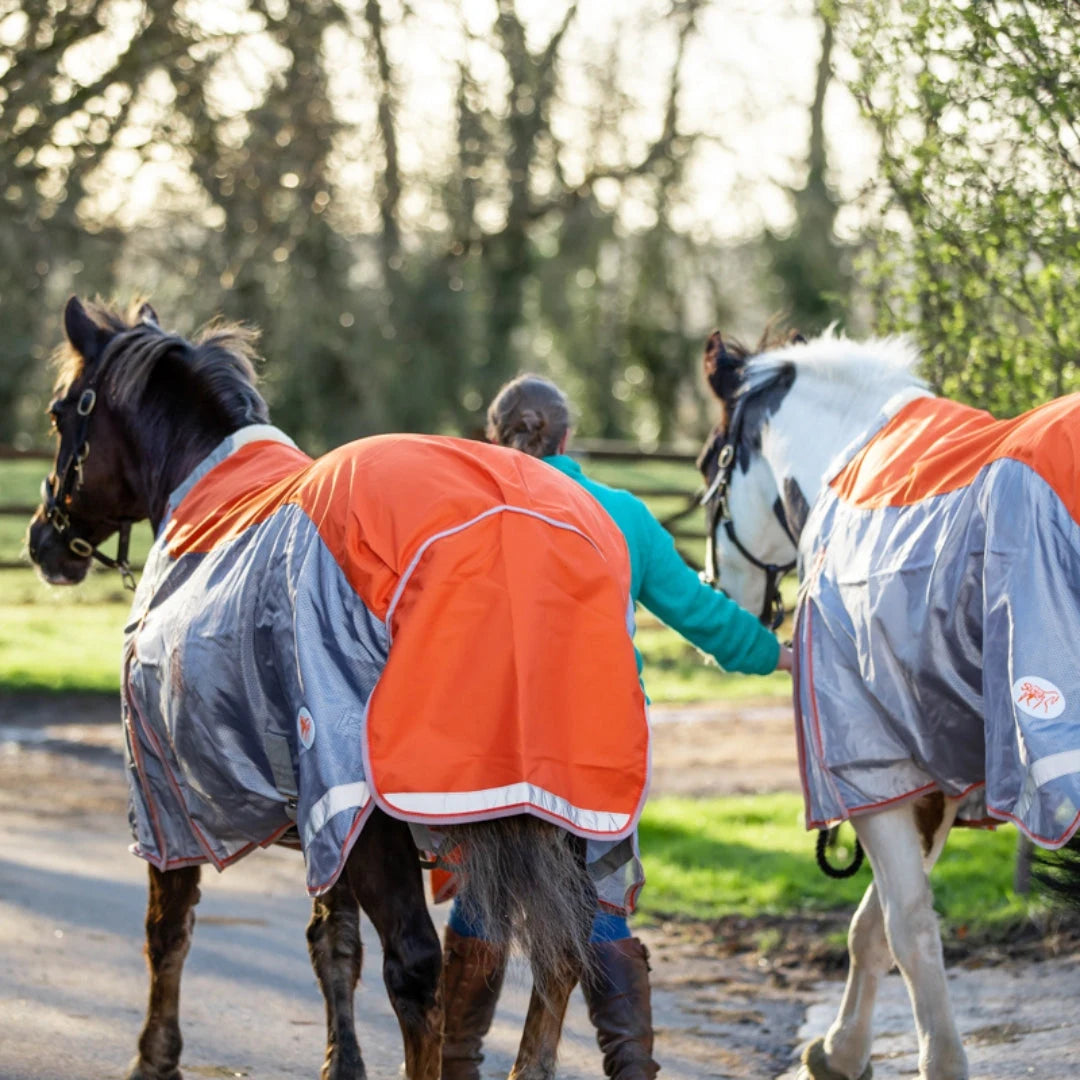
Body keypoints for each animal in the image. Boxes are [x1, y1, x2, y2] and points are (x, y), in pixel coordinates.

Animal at [25, 296, 650, 1080]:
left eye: (60, 413)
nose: (42, 539)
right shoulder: (323, 820)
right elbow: (334, 947)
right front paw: (340, 1063)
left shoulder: (175, 798)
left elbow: (167, 932)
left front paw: (154, 1059)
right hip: (570, 808)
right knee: (561, 956)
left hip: (384, 815)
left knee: (419, 967)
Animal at [696, 326, 1080, 1080]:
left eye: (709, 467)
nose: (715, 589)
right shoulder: (932, 777)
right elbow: (873, 927)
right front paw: (841, 1050)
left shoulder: (878, 765)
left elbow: (906, 927)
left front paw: (930, 1057)